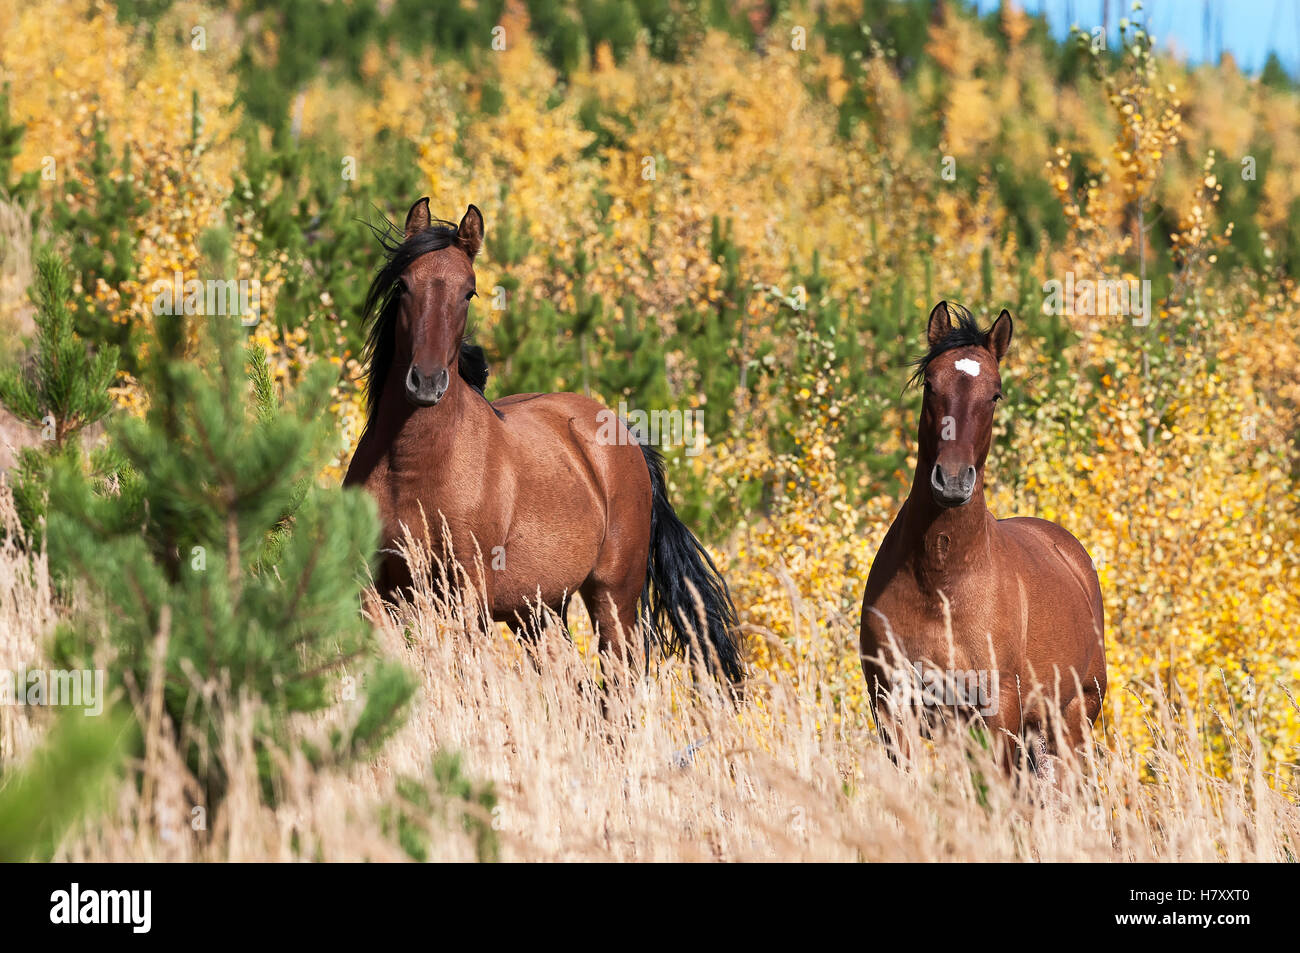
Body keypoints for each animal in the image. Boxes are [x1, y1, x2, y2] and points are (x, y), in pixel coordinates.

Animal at [343, 198, 743, 684]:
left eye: (469, 292)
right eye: (403, 284)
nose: (426, 382)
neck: (413, 466)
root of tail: (625, 438)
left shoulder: (468, 591)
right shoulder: (376, 590)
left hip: (613, 598)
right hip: (536, 610)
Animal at [858, 302, 1106, 777]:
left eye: (995, 394)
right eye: (931, 384)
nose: (953, 481)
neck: (941, 581)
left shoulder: (997, 713)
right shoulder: (893, 708)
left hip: (1072, 720)